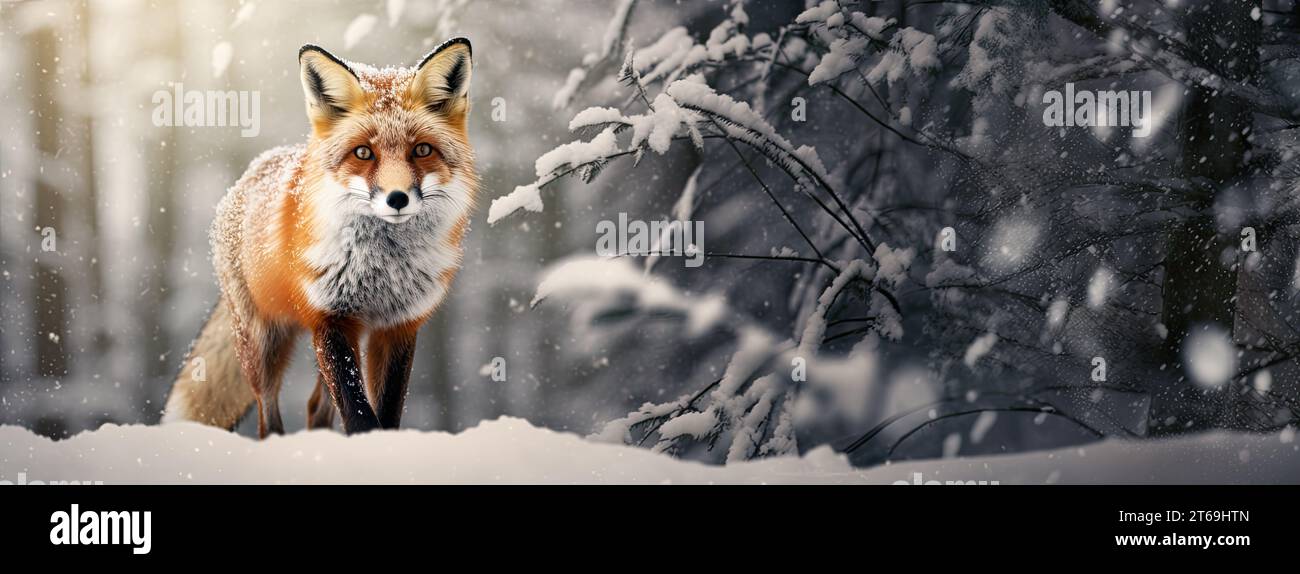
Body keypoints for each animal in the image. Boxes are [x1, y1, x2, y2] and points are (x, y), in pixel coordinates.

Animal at [162, 39, 478, 436]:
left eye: (422, 150)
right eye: (363, 152)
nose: (397, 198)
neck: (383, 268)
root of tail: (254, 169)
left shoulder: (398, 325)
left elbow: (386, 412)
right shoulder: (329, 317)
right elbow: (358, 413)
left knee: (316, 406)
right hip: (264, 343)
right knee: (268, 414)